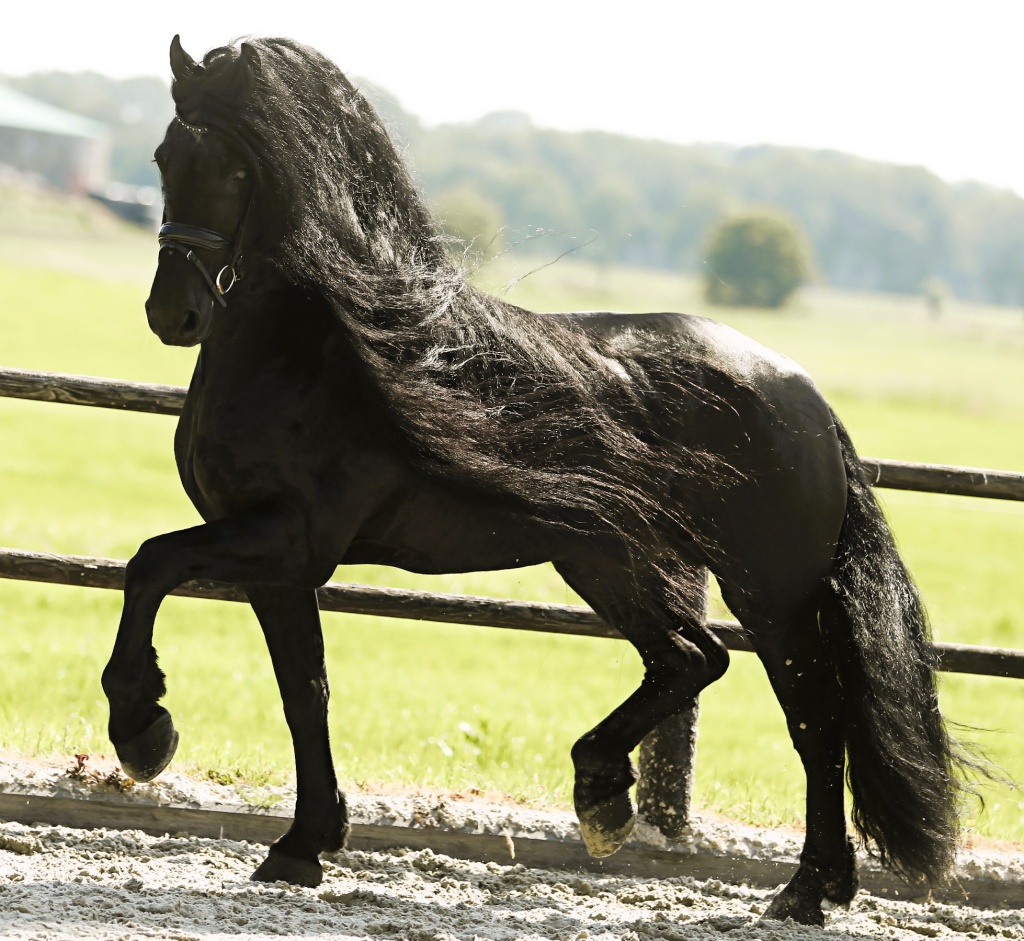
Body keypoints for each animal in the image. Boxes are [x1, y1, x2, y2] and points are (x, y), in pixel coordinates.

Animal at [102, 34, 968, 925]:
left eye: (237, 166)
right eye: (166, 155)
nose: (175, 314)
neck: (317, 351)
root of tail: (804, 395)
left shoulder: (286, 537)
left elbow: (152, 562)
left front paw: (144, 727)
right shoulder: (280, 567)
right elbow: (304, 692)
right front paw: (301, 845)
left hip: (770, 591)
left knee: (811, 719)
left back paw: (798, 887)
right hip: (610, 561)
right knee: (693, 660)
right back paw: (613, 800)